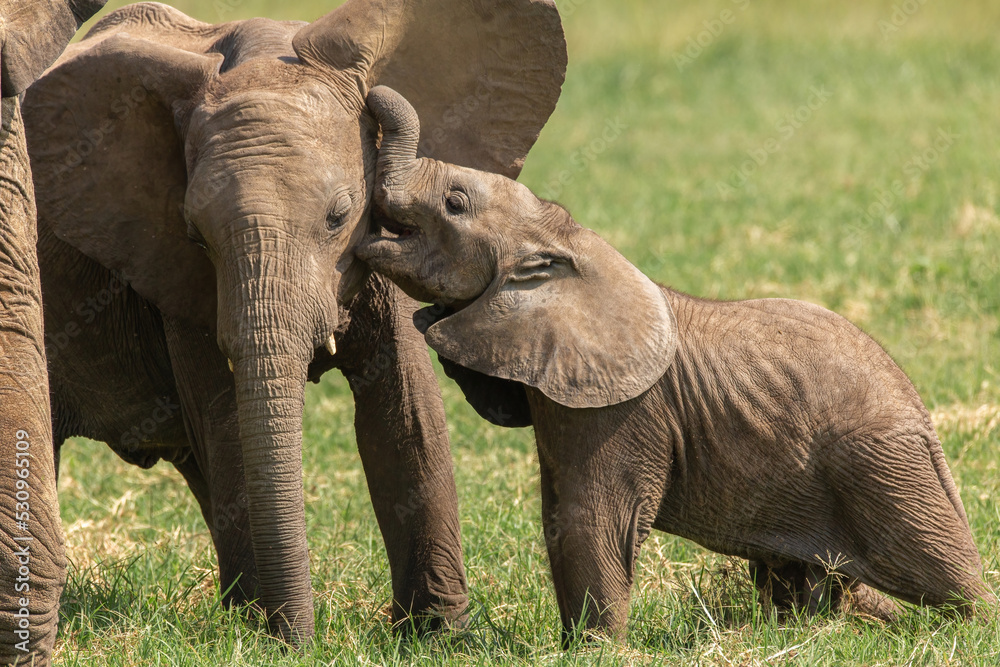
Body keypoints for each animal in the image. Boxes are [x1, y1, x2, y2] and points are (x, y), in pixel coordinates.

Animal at [21, 0, 566, 644]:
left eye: (339, 216)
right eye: (195, 234)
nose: (303, 641)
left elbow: (406, 412)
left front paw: (440, 637)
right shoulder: (174, 268)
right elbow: (224, 415)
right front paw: (263, 635)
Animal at [356, 86, 993, 642]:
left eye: (454, 204)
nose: (370, 98)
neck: (566, 242)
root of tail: (923, 418)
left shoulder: (622, 408)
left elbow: (590, 517)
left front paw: (594, 650)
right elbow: (560, 509)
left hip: (885, 471)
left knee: (945, 579)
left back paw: (974, 623)